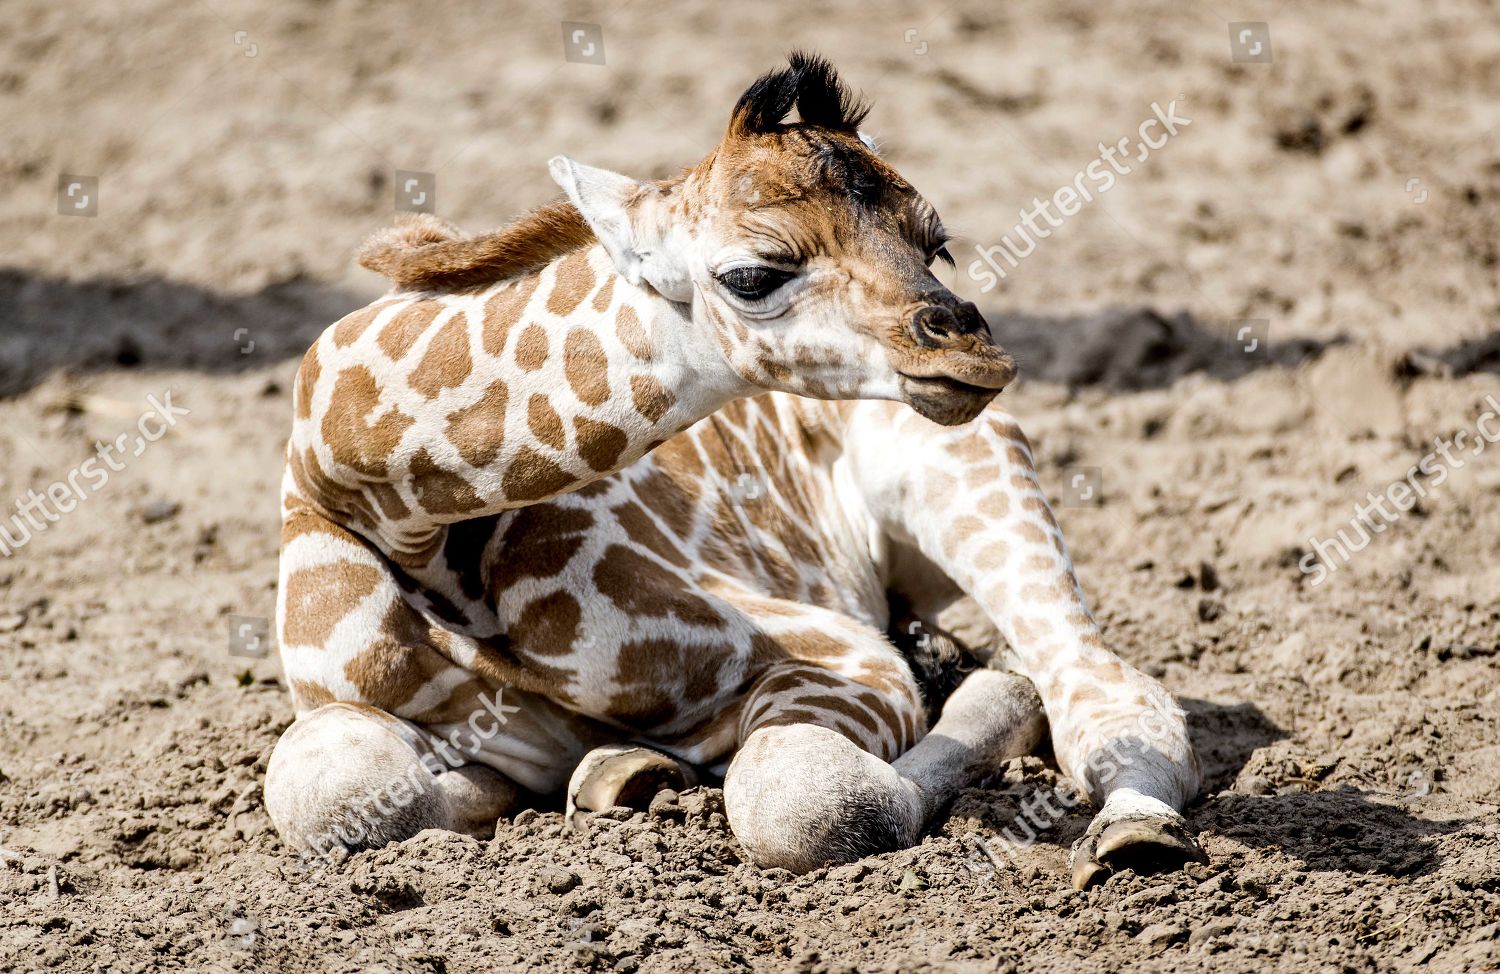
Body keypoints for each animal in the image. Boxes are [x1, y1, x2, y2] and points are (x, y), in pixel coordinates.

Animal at [264, 53, 1202, 890]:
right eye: (753, 274)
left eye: (935, 246)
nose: (974, 353)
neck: (410, 522)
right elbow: (328, 787)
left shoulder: (842, 656)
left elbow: (807, 797)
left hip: (965, 468)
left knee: (1100, 684)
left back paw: (1133, 832)